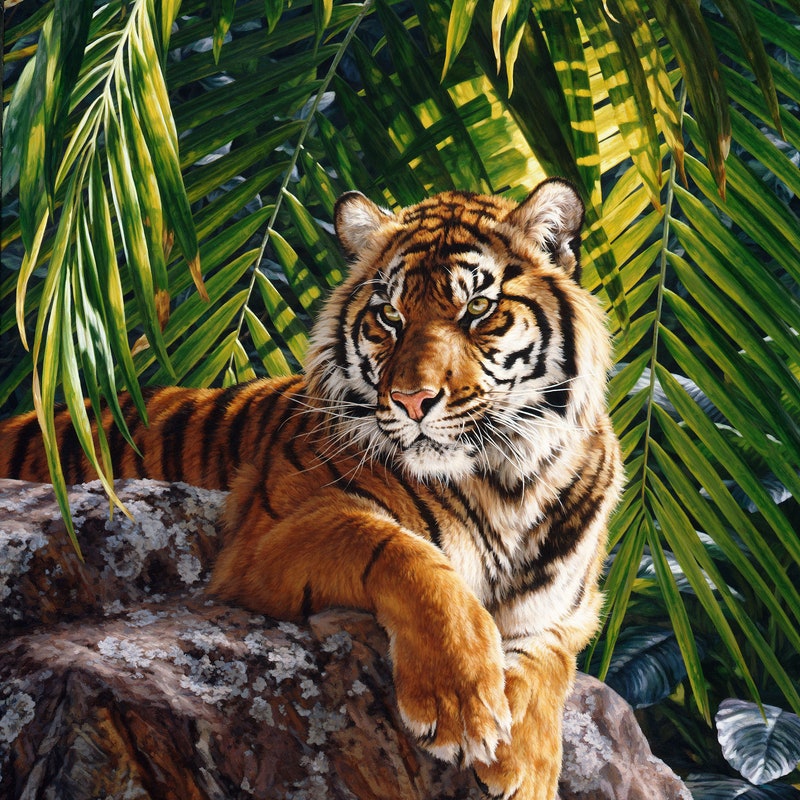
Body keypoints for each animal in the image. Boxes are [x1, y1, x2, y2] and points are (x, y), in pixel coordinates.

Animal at [0, 179, 622, 800]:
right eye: (389, 315)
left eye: (478, 308)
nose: (412, 400)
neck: (507, 479)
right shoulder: (264, 537)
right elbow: (409, 557)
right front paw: (459, 705)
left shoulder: (572, 606)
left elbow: (547, 656)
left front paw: (527, 767)